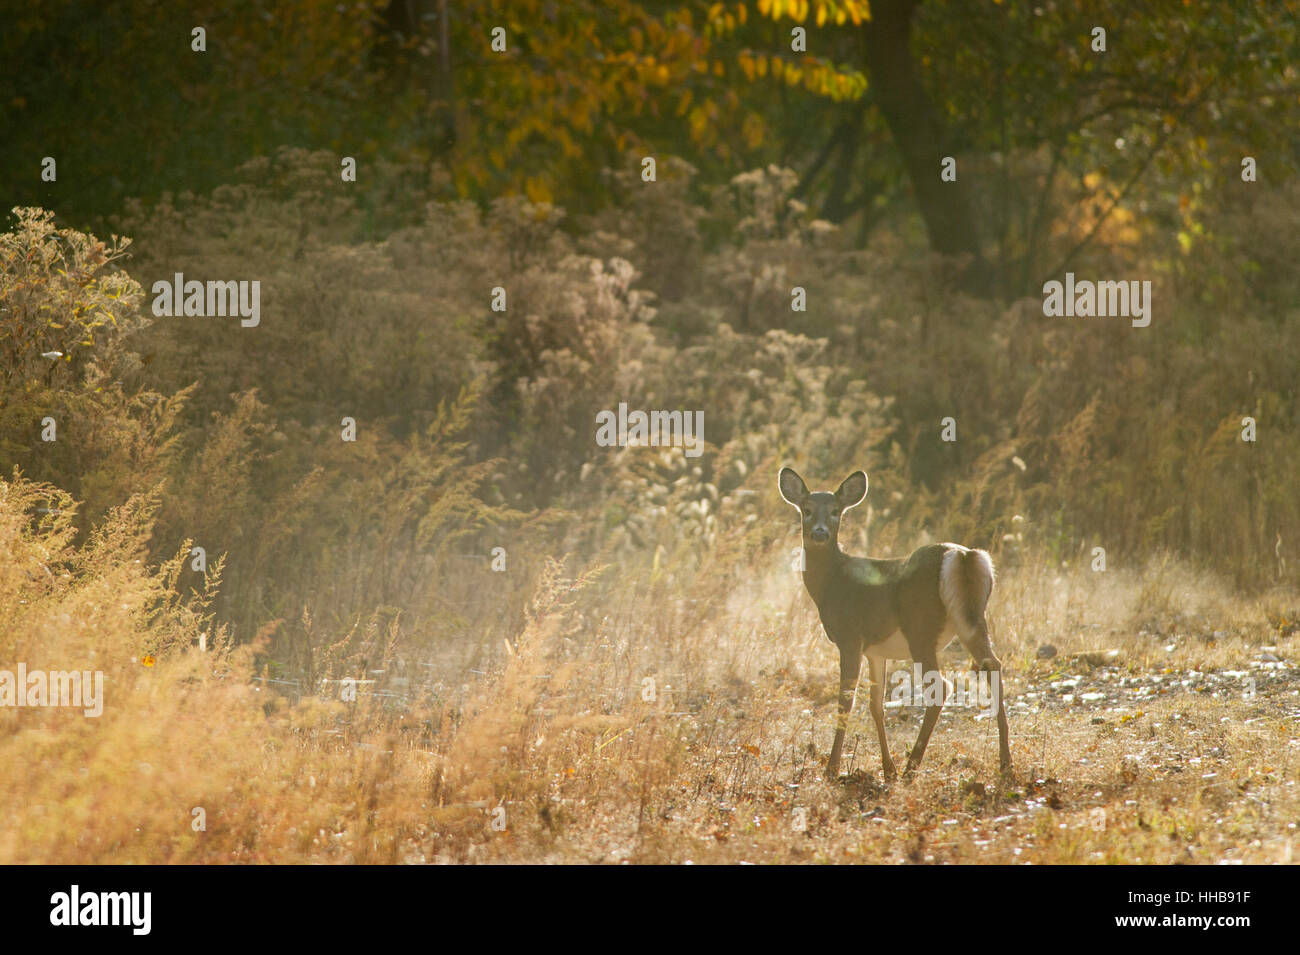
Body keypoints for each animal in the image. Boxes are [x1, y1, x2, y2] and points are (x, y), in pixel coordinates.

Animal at [778, 467, 1011, 781]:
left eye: (836, 511)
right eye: (806, 510)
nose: (819, 532)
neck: (832, 582)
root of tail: (963, 556)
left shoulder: (850, 637)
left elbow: (846, 700)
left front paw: (832, 768)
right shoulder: (875, 650)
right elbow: (876, 705)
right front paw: (887, 768)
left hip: (921, 628)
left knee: (942, 687)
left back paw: (912, 767)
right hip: (973, 621)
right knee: (992, 664)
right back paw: (1005, 762)